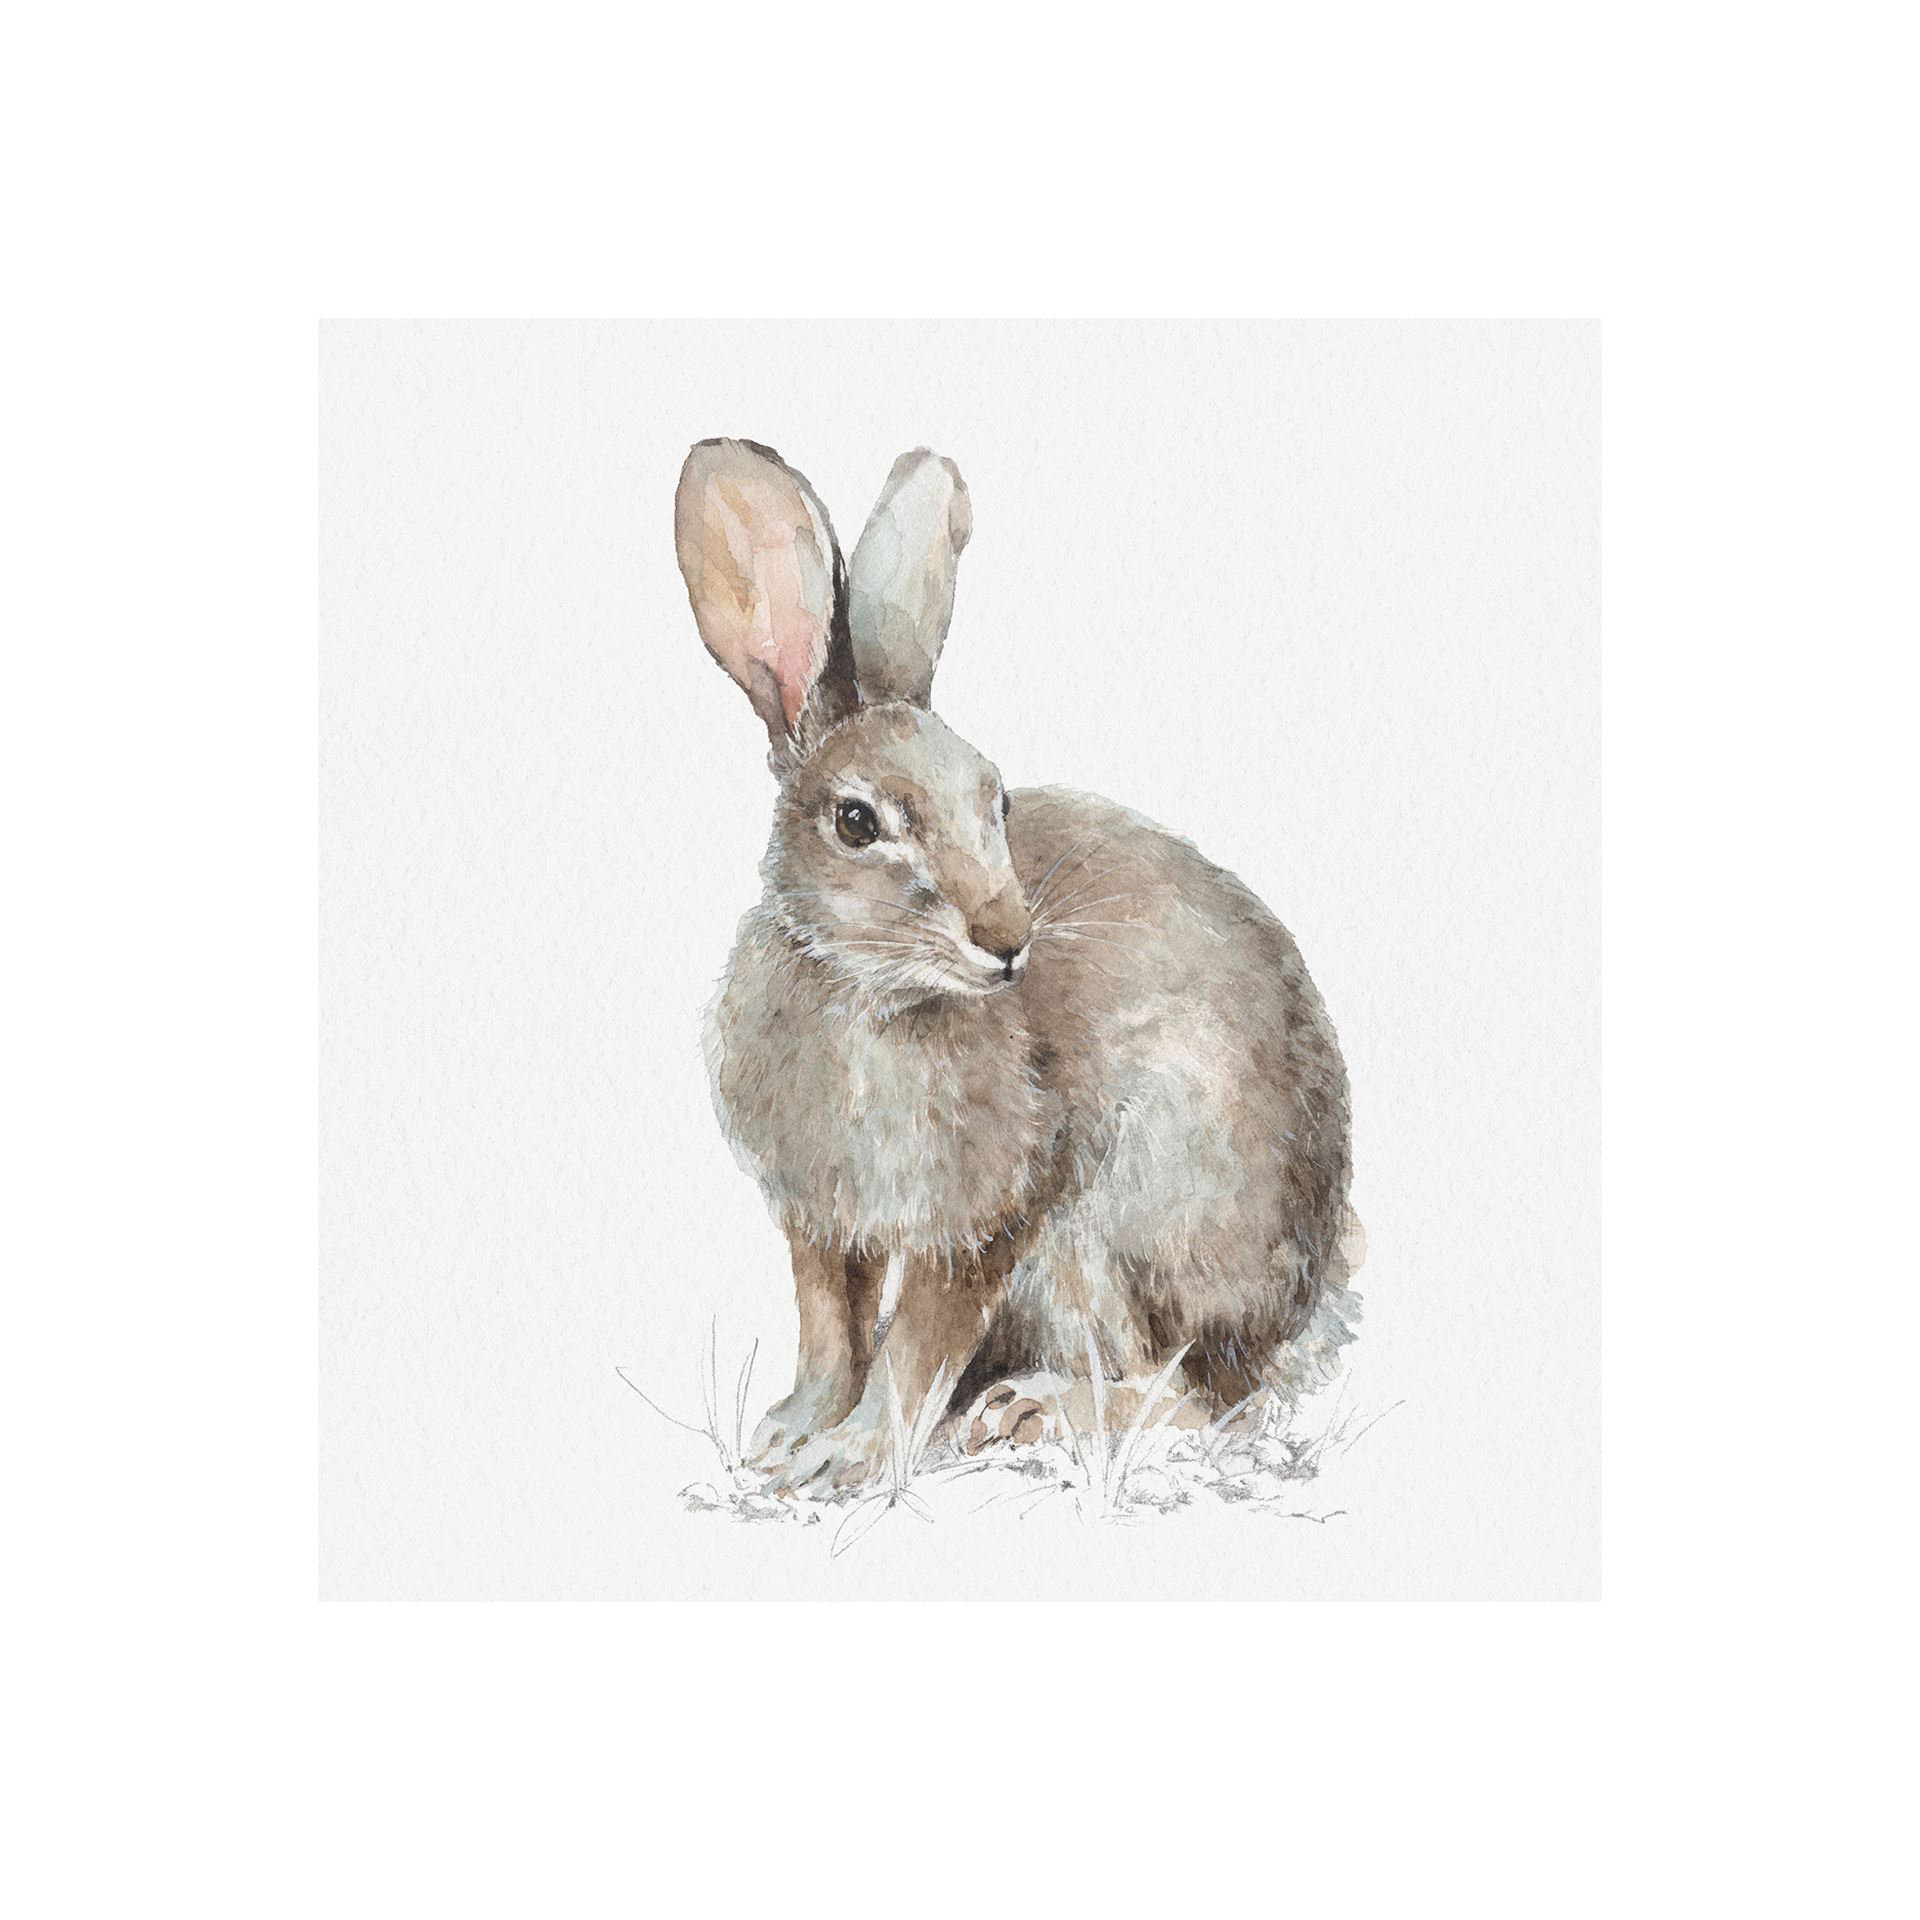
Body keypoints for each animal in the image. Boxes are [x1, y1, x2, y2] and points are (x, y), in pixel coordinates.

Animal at [673, 438, 1359, 1494]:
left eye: (993, 800)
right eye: (856, 822)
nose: (1007, 939)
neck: (869, 995)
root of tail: (1305, 1299)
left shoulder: (988, 1220)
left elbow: (914, 1346)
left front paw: (853, 1456)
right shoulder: (824, 1226)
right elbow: (832, 1333)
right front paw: (792, 1437)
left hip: (1122, 1238)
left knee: (1199, 1392)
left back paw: (1032, 1410)